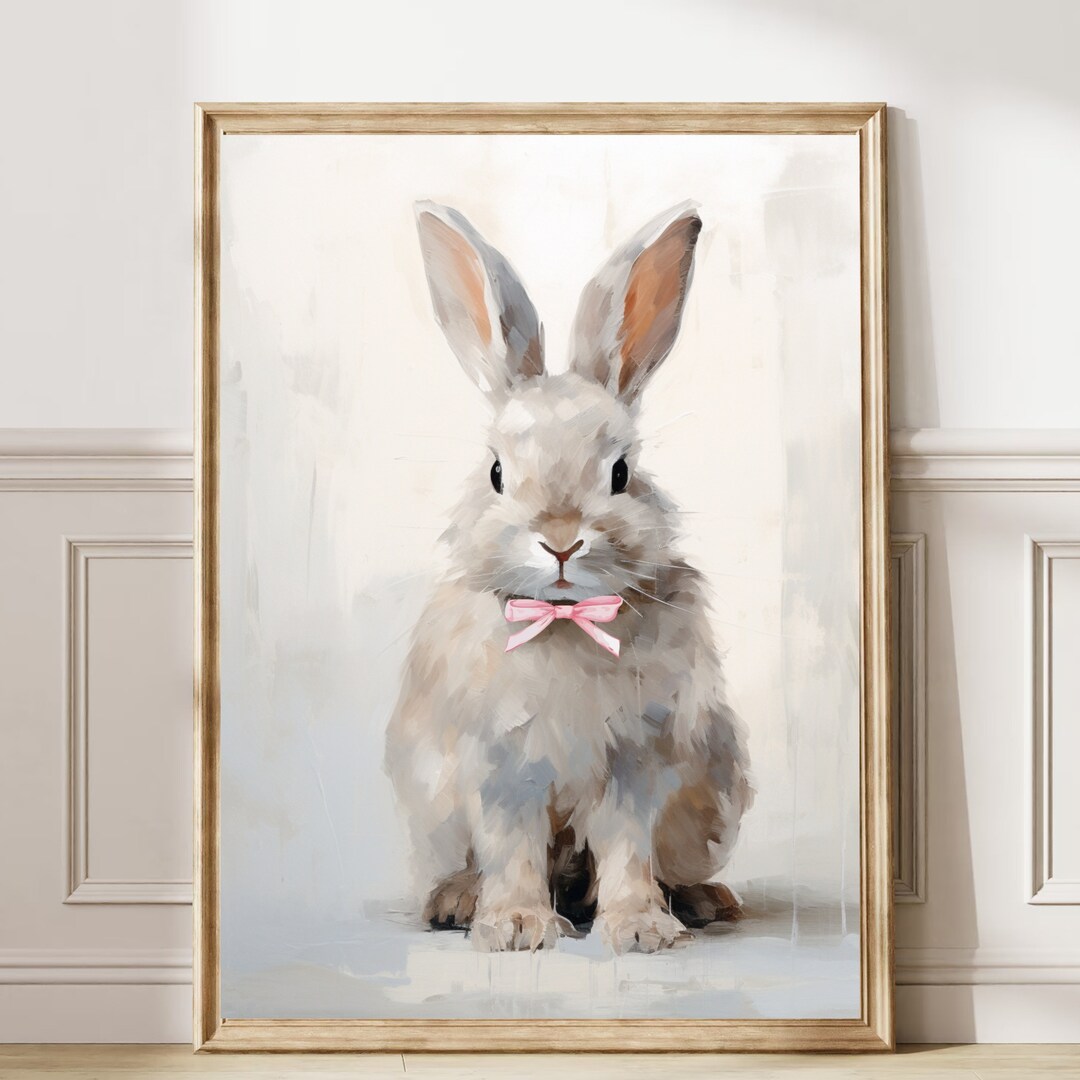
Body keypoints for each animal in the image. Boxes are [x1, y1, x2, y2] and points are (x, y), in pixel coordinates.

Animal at [384, 200, 753, 954]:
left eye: (621, 472)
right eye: (498, 472)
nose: (559, 539)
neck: (562, 622)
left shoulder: (637, 765)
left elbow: (628, 849)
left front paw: (640, 930)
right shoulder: (502, 771)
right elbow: (512, 848)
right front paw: (517, 927)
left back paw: (704, 902)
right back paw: (456, 902)